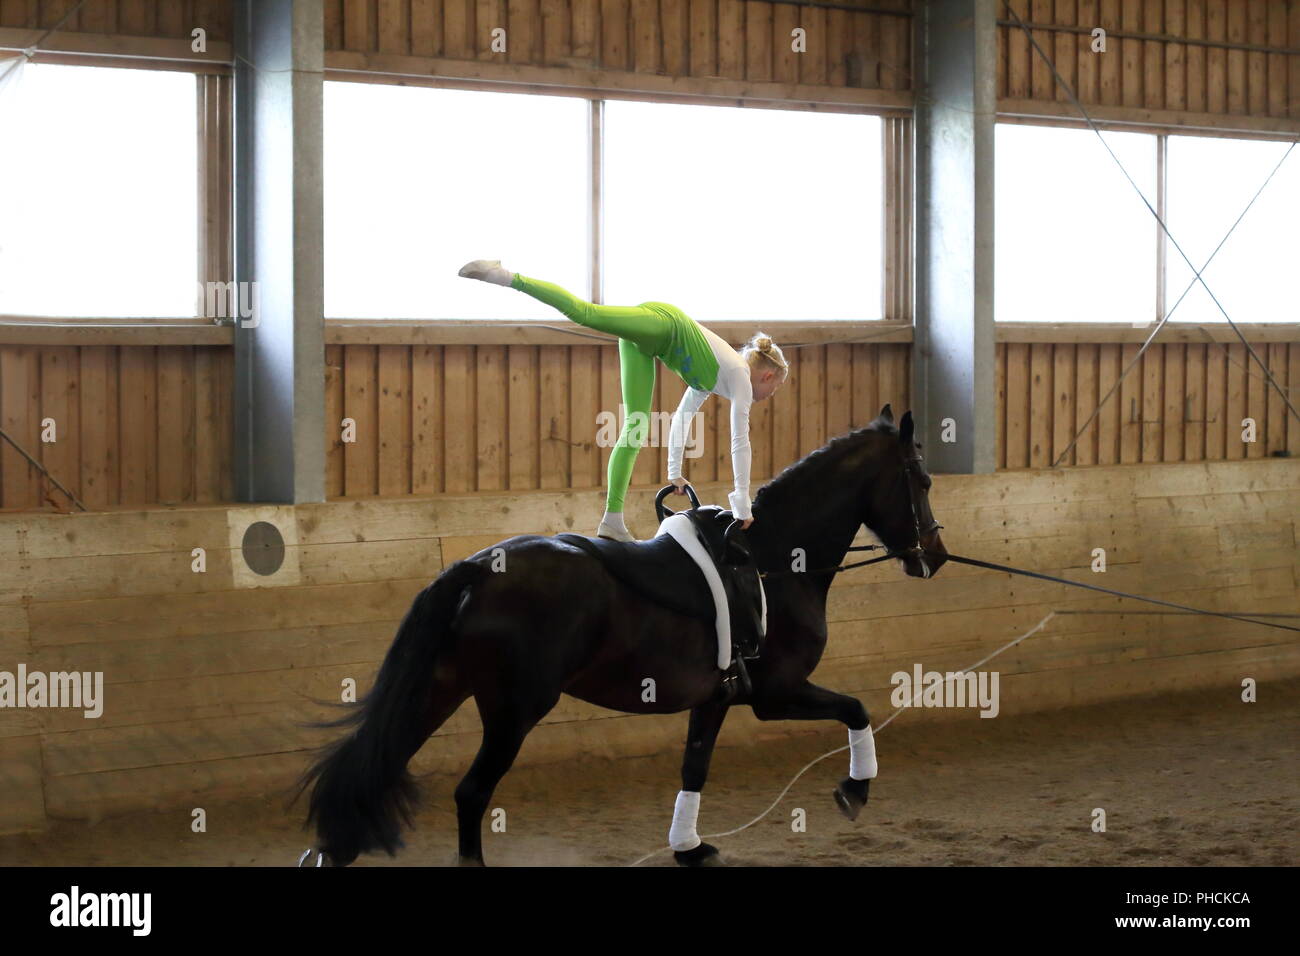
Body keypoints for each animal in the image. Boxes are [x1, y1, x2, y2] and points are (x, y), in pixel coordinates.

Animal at [300, 405, 947, 866]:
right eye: (921, 478)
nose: (935, 557)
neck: (773, 560)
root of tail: (479, 566)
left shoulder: (718, 698)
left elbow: (694, 768)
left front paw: (688, 847)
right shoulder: (776, 694)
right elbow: (857, 708)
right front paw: (855, 790)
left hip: (439, 690)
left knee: (374, 769)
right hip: (514, 710)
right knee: (471, 794)